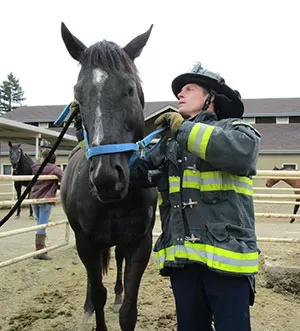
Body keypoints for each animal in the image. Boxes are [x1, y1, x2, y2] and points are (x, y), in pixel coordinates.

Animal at [59, 23, 157, 331]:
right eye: (78, 93)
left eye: (130, 89)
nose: (105, 177)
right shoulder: (86, 242)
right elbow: (97, 290)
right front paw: (94, 306)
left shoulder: (140, 243)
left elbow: (128, 310)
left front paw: (120, 300)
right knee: (94, 282)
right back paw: (88, 305)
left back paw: (116, 293)